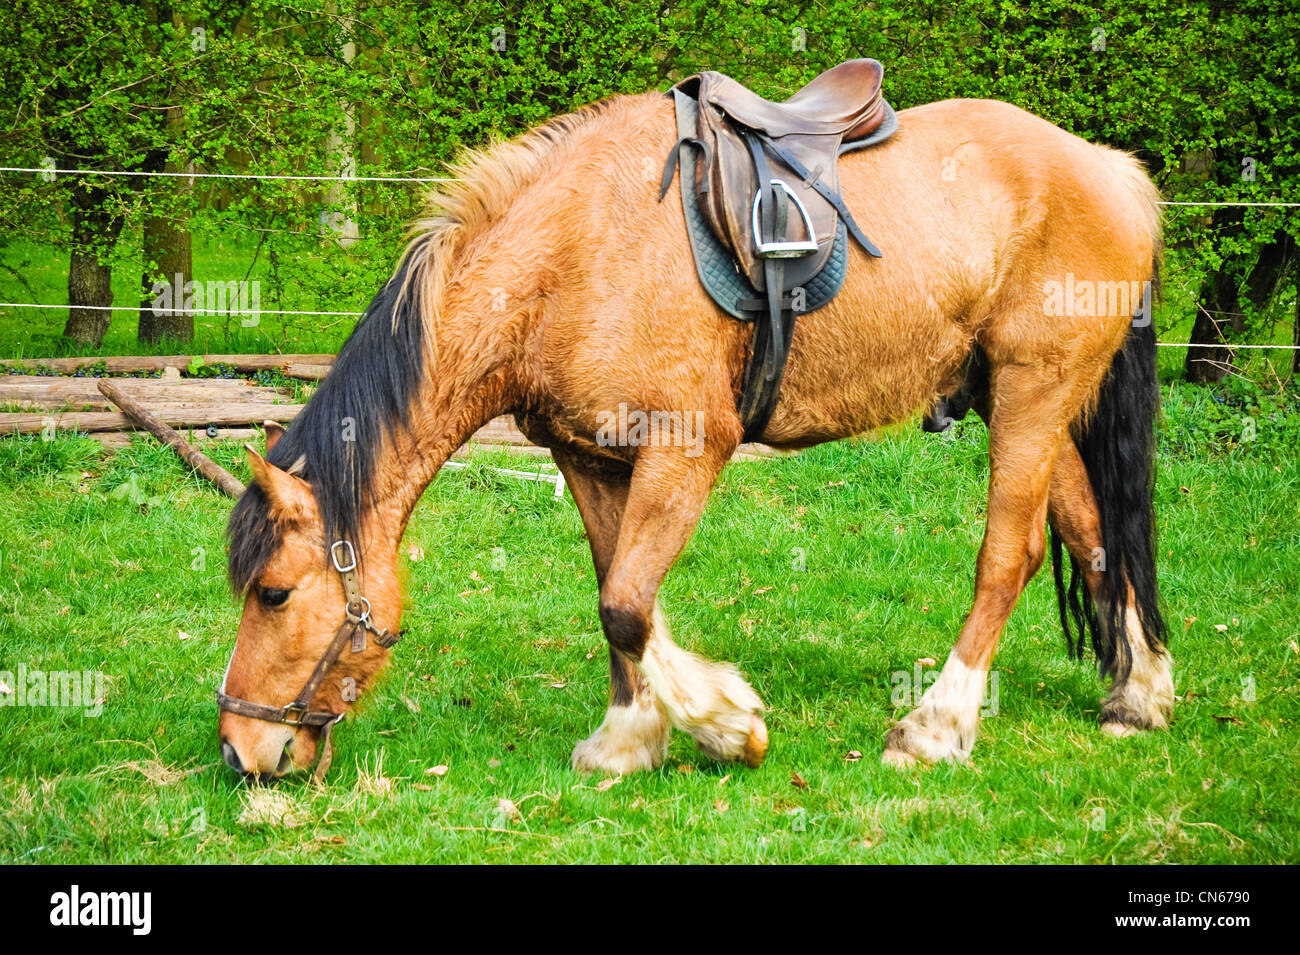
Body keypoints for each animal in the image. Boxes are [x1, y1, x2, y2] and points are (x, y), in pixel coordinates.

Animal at [217, 89, 1173, 781]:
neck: (571, 258)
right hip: (1023, 399)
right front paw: (630, 737)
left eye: (274, 593)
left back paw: (938, 725)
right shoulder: (590, 457)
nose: (238, 748)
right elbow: (617, 595)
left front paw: (726, 725)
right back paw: (1139, 695)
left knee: (1008, 554)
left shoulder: (686, 450)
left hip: (1033, 393)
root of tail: (1112, 169)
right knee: (1095, 536)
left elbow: (627, 603)